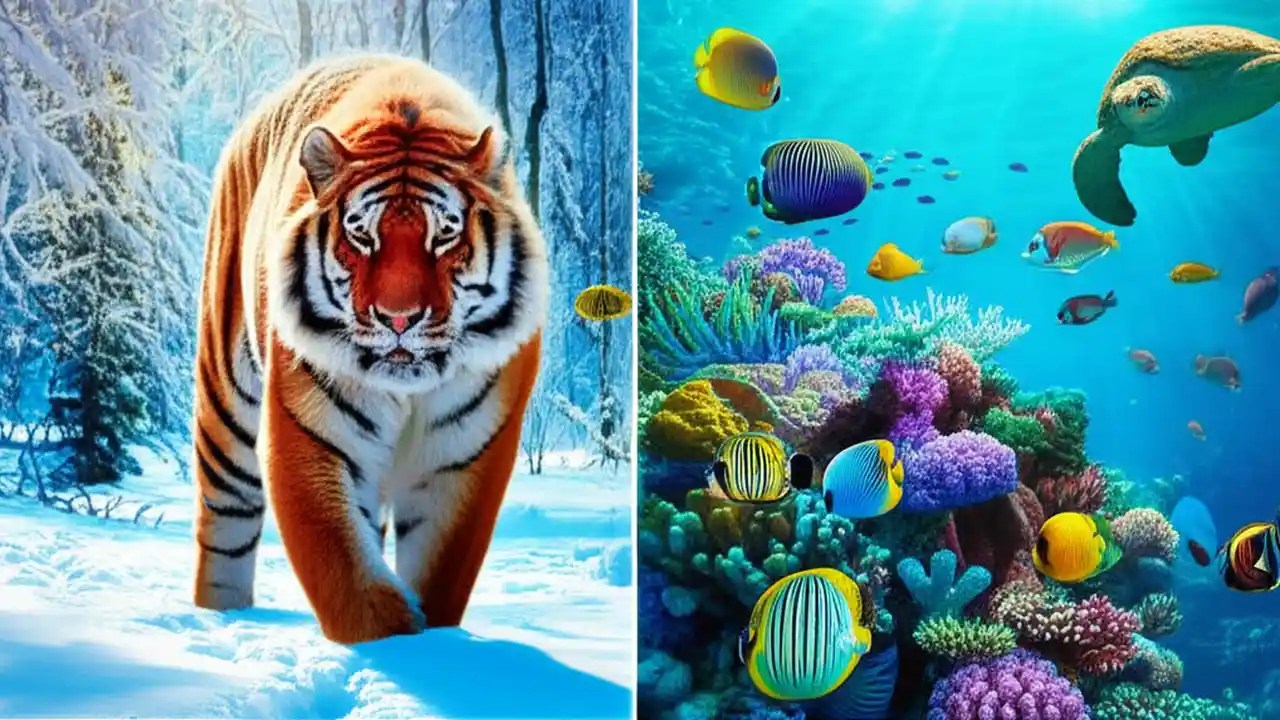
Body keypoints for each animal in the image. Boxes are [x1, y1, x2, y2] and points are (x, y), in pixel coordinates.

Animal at [190, 53, 548, 645]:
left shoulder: (464, 458)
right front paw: (395, 651)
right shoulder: (309, 435)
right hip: (225, 408)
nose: (398, 318)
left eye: (444, 235)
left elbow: (439, 576)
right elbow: (351, 586)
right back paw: (219, 623)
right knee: (226, 527)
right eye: (362, 235)